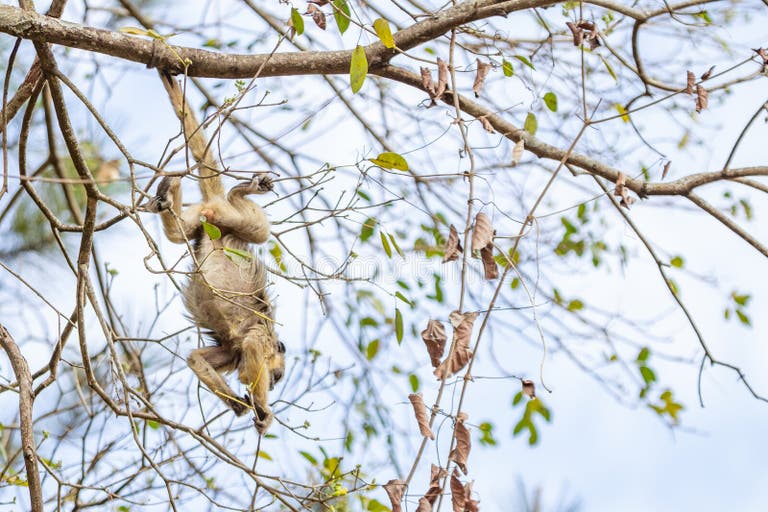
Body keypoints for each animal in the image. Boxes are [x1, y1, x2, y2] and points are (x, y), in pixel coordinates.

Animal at [148, 72, 284, 433]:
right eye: (279, 377)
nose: (275, 382)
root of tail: (215, 207)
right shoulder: (260, 340)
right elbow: (253, 346)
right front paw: (263, 411)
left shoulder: (229, 351)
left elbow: (195, 359)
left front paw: (239, 405)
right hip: (231, 218)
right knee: (258, 228)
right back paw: (243, 189)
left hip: (200, 222)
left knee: (178, 234)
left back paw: (169, 193)